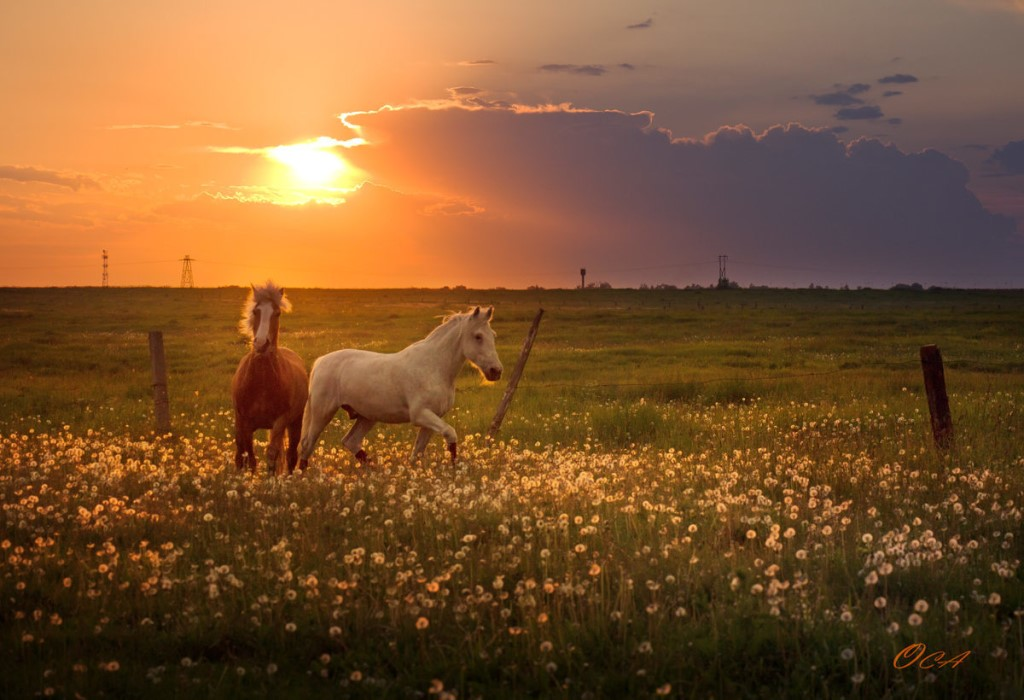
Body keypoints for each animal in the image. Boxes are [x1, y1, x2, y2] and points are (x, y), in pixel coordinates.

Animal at [232, 282, 307, 472]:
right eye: (255, 311)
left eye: (277, 313)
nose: (261, 344)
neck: (262, 382)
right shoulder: (245, 422)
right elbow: (249, 456)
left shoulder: (280, 422)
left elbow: (272, 455)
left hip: (295, 423)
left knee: (291, 455)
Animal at [296, 307, 503, 466]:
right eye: (478, 336)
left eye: (493, 335)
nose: (496, 371)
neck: (434, 366)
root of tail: (320, 362)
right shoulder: (420, 415)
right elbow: (451, 435)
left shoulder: (432, 419)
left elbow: (417, 454)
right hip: (323, 413)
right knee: (307, 445)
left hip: (367, 417)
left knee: (351, 442)